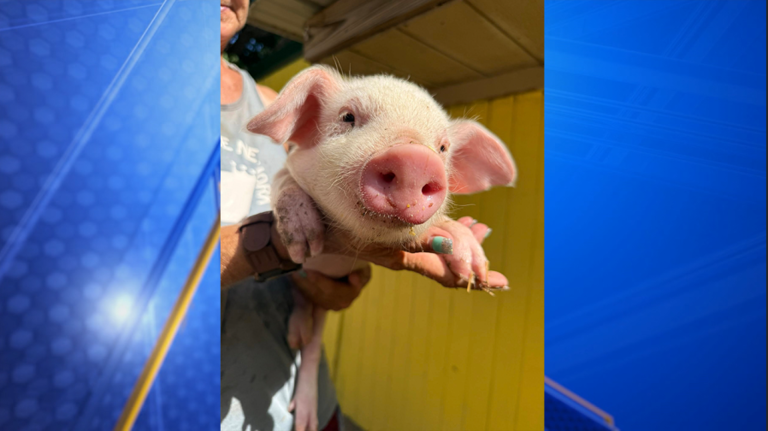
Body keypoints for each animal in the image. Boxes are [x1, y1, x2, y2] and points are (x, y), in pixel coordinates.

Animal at [246, 65, 517, 431]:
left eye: (442, 147)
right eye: (347, 117)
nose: (415, 158)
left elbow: (446, 227)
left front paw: (474, 268)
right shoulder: (287, 170)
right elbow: (285, 186)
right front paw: (305, 241)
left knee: (313, 343)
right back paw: (296, 341)